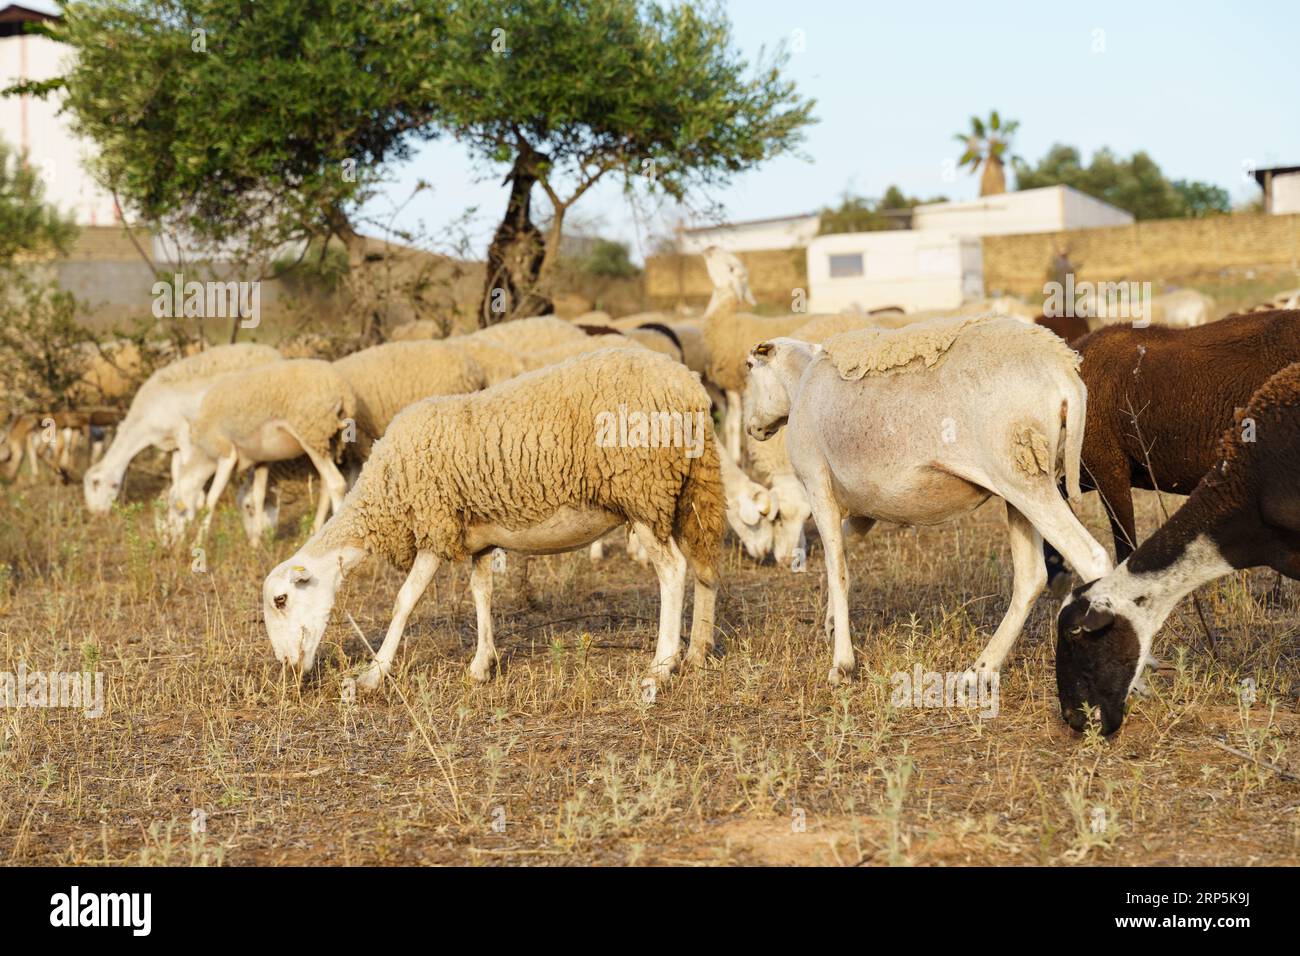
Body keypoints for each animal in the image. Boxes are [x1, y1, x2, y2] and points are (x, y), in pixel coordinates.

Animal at [83, 343, 282, 512]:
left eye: (96, 483)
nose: (97, 515)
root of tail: (277, 355)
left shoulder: (185, 433)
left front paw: (196, 501)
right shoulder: (173, 444)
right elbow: (176, 473)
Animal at [164, 359, 356, 543]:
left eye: (175, 509)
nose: (173, 543)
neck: (204, 456)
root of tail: (342, 390)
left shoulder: (226, 455)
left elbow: (211, 500)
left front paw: (197, 543)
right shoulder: (261, 461)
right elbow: (258, 496)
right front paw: (256, 542)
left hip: (310, 433)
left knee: (337, 483)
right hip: (328, 440)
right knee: (326, 486)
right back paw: (315, 531)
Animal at [261, 346, 723, 692]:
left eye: (280, 600)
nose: (288, 671)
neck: (386, 489)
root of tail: (689, 388)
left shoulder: (435, 524)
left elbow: (404, 600)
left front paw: (372, 674)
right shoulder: (478, 538)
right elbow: (481, 593)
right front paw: (482, 665)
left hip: (643, 489)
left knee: (673, 570)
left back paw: (661, 666)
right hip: (692, 490)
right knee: (704, 568)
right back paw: (697, 653)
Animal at [744, 314, 1112, 685]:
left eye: (749, 366)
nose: (751, 428)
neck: (799, 386)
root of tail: (1066, 373)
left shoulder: (817, 484)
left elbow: (837, 570)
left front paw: (842, 665)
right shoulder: (865, 508)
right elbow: (844, 552)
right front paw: (832, 622)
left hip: (1025, 479)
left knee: (1091, 559)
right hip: (1021, 484)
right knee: (1031, 577)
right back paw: (981, 670)